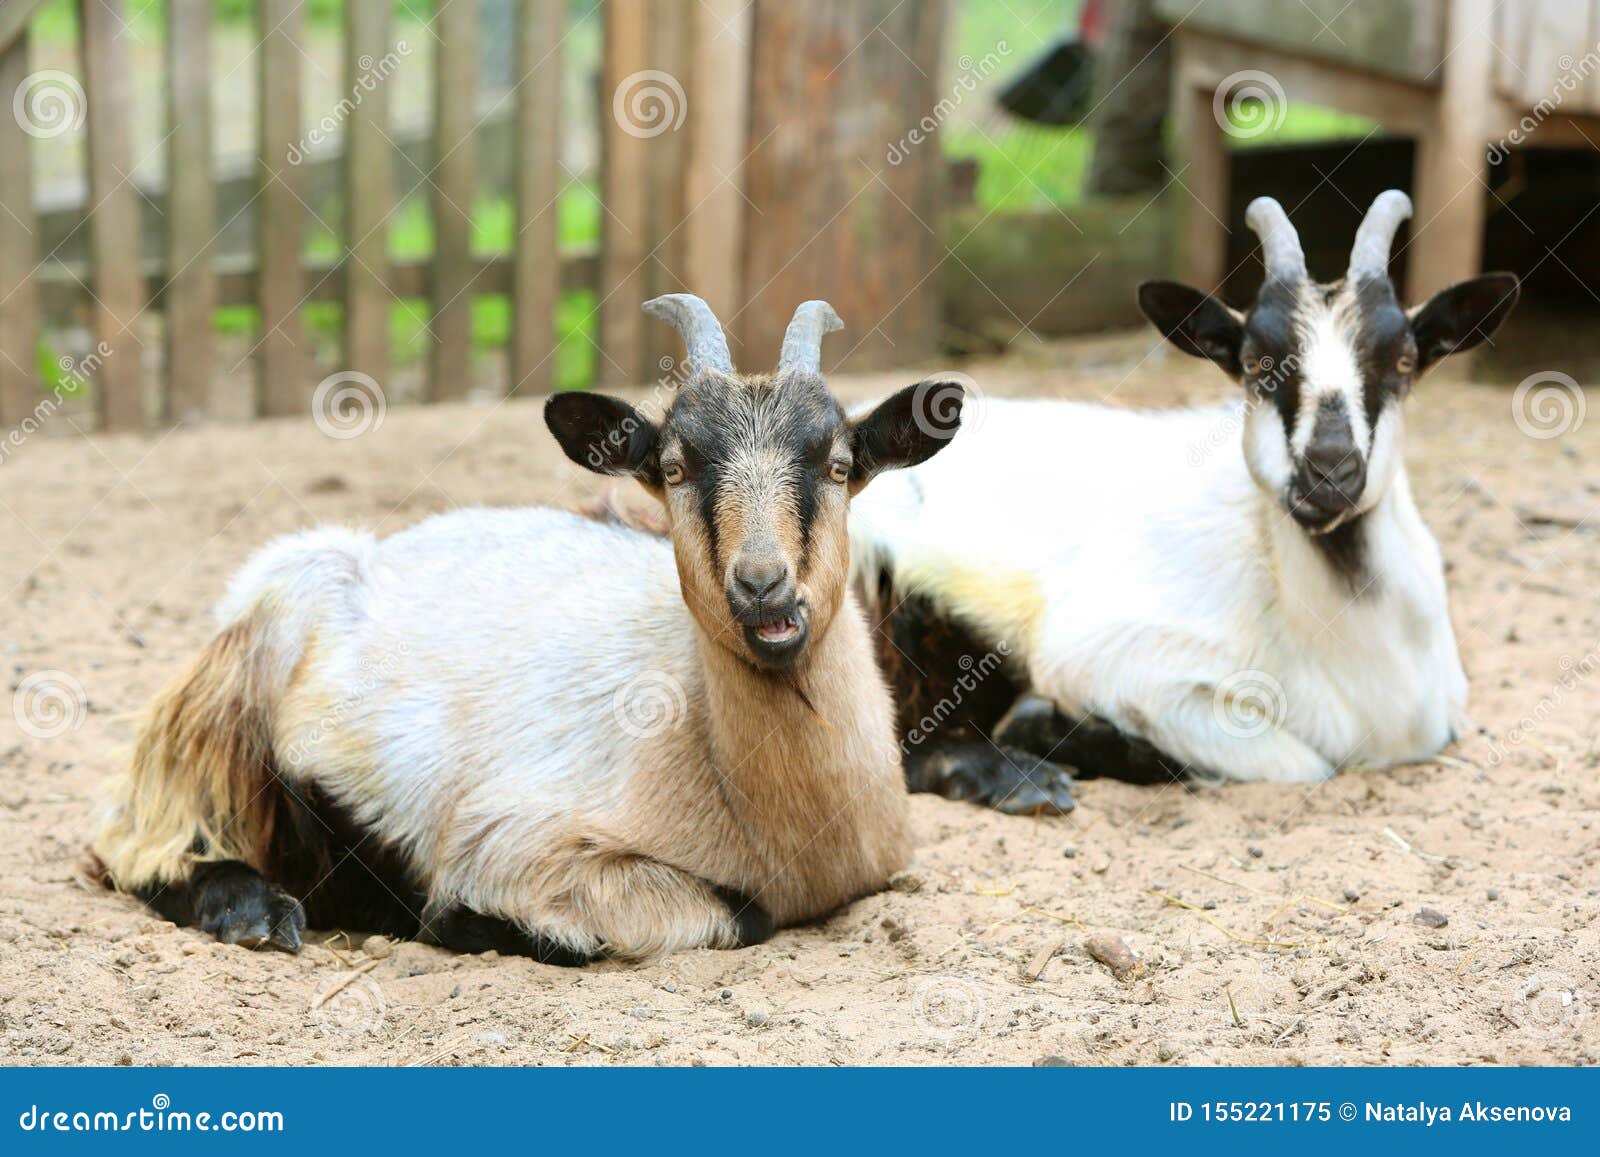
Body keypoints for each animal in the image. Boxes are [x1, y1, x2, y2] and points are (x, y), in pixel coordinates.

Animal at [91, 295, 964, 962]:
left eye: (840, 464)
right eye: (674, 467)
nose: (761, 584)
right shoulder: (508, 841)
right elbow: (737, 914)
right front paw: (459, 921)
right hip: (242, 678)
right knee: (135, 842)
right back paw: (256, 912)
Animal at [851, 190, 1519, 794]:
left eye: (1404, 361)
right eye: (1255, 363)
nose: (1330, 469)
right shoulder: (1114, 659)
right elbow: (1299, 764)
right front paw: (1046, 729)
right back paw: (1017, 779)